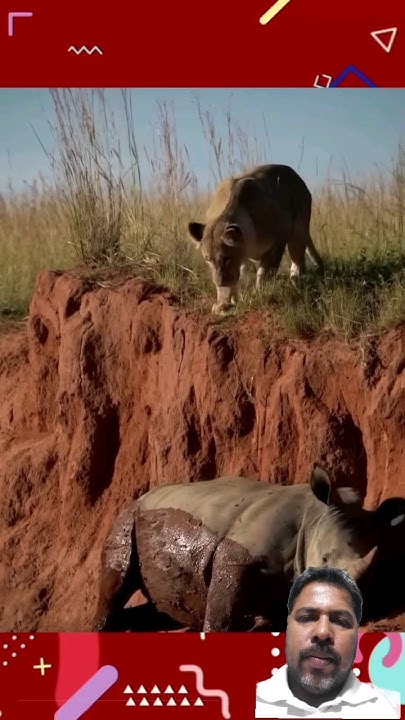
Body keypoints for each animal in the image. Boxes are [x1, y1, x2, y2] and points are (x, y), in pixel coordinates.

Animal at [94, 466, 405, 633]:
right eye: (326, 559)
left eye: (372, 576)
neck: (314, 518)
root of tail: (146, 493)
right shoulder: (237, 554)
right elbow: (222, 605)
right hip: (130, 513)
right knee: (117, 576)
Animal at [188, 163, 324, 314]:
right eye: (208, 260)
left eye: (226, 258)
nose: (218, 282)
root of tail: (298, 178)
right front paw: (223, 304)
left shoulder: (278, 242)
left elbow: (264, 274)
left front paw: (258, 295)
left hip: (298, 233)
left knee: (298, 262)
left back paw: (297, 281)